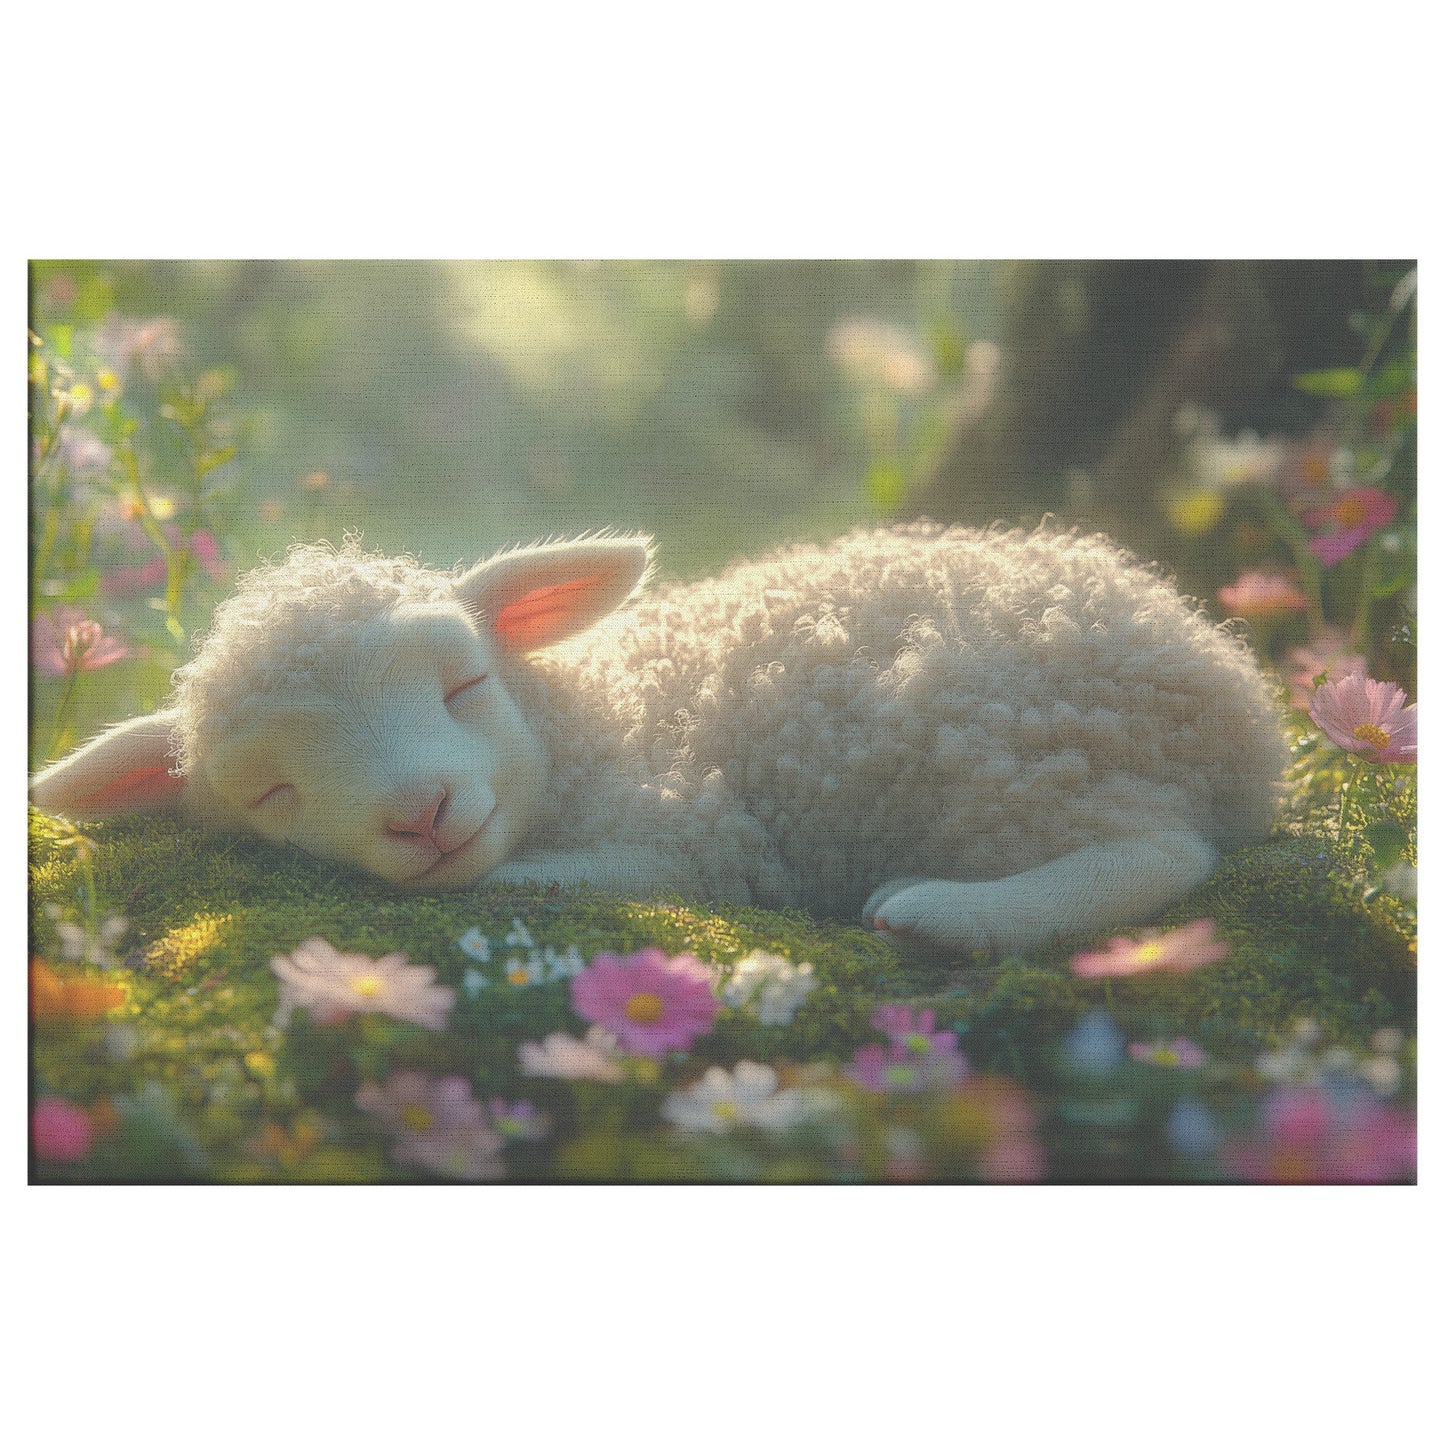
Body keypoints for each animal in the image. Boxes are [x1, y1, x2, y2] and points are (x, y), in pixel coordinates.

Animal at [30, 522, 1289, 955]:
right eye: (271, 793)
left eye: (463, 681)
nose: (421, 814)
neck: (595, 712)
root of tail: (1231, 699)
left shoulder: (691, 834)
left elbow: (535, 876)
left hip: (1015, 746)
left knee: (1156, 852)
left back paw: (943, 911)